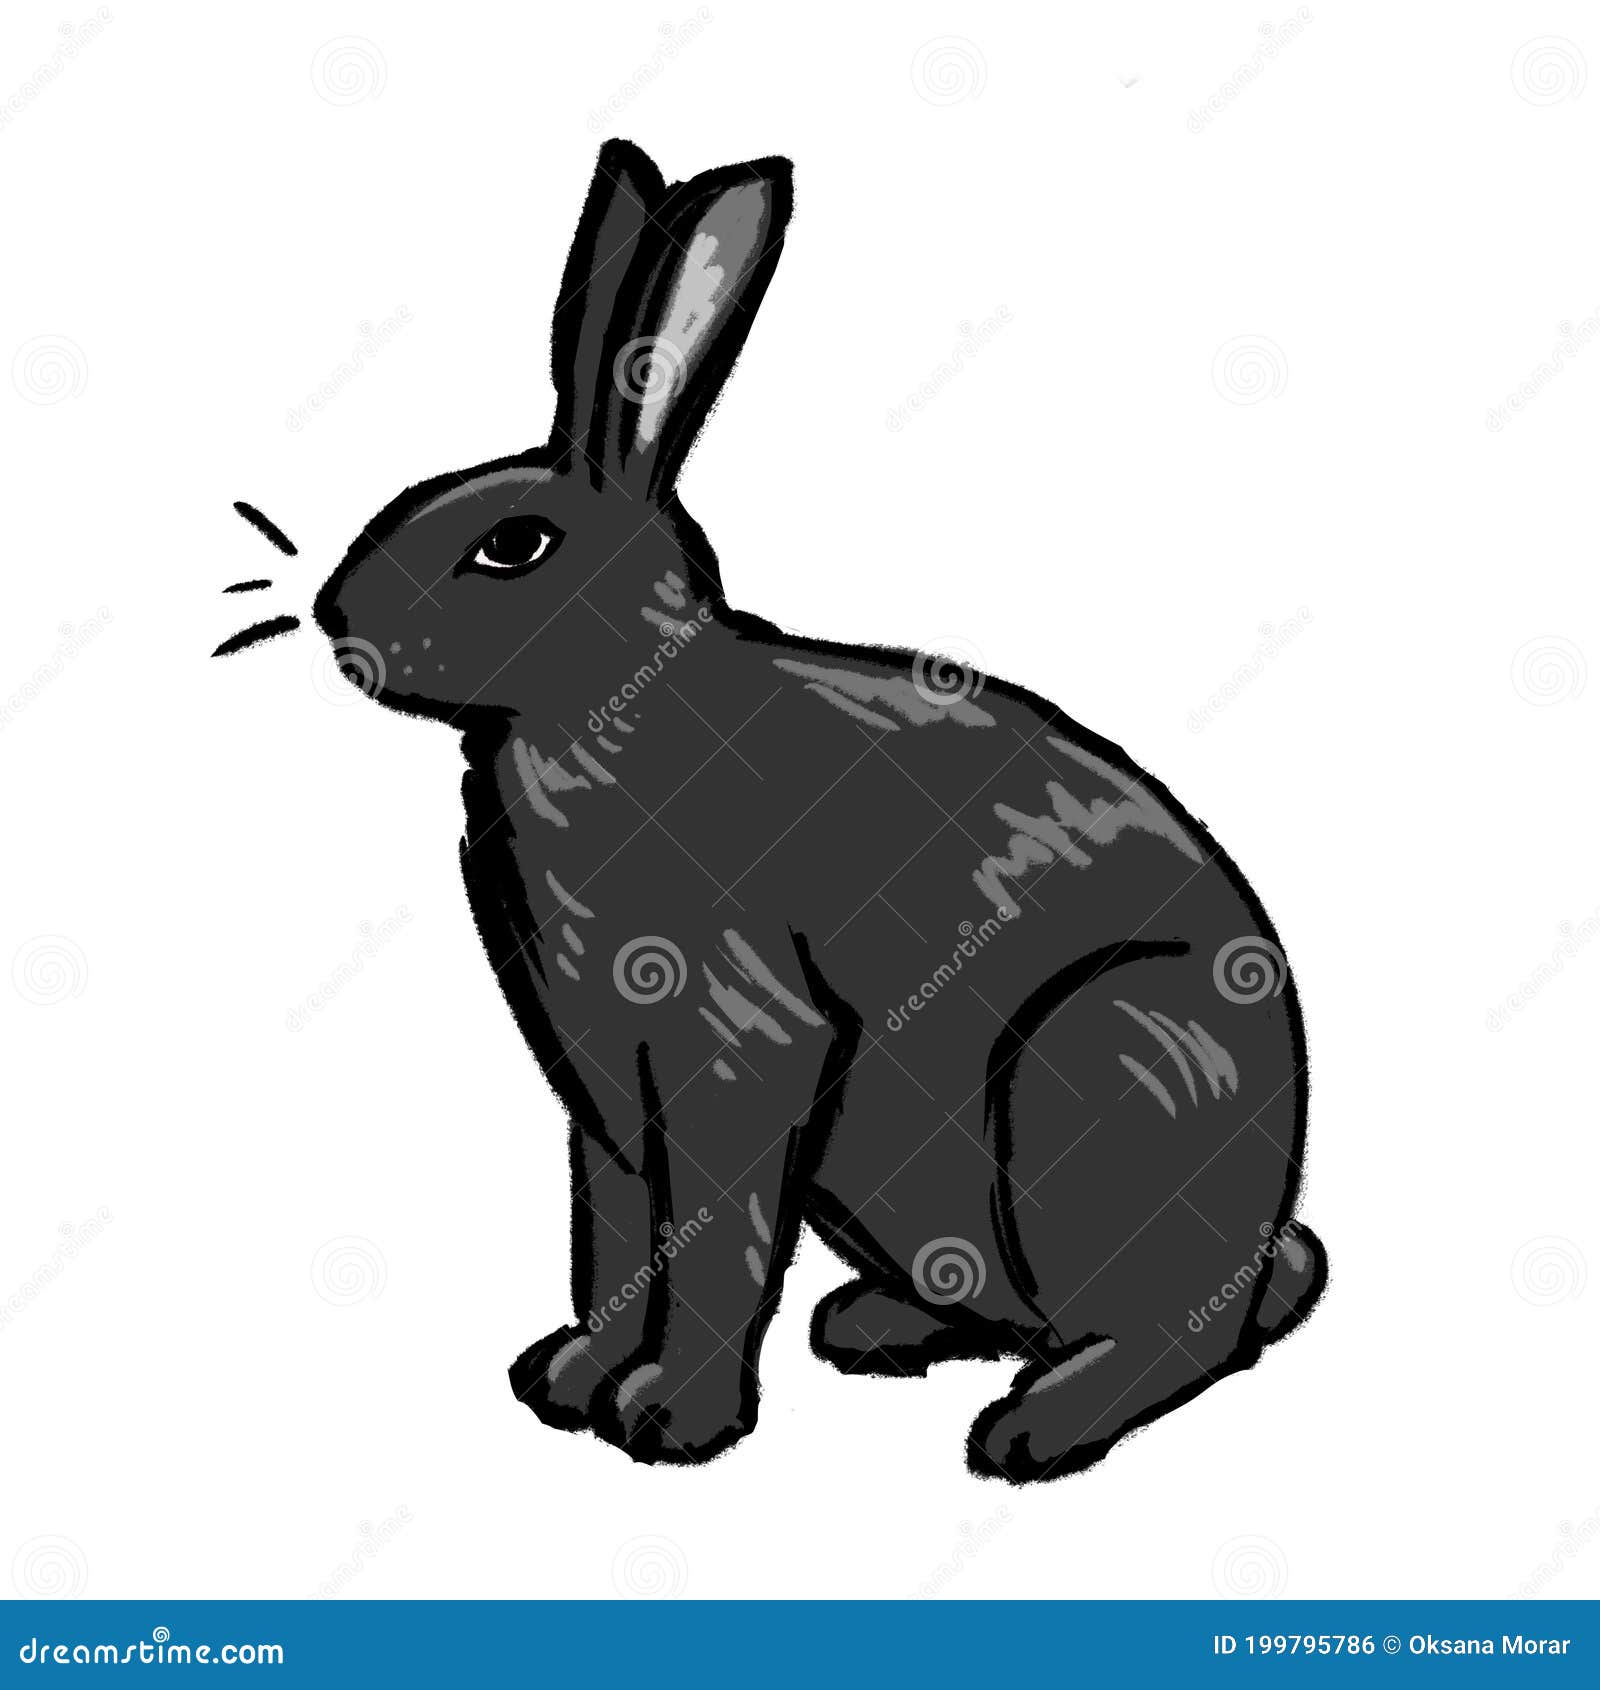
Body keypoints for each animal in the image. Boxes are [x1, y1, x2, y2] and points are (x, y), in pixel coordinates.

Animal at [310, 138, 1326, 1482]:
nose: (334, 616)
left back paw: (1033, 1427)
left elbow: (711, 1237)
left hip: (1095, 1067)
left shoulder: (736, 1041)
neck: (608, 703)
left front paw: (672, 1419)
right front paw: (571, 1378)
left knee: (1183, 1333)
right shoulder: (599, 1081)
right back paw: (875, 1326)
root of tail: (1271, 1234)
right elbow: (616, 1232)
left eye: (513, 545)